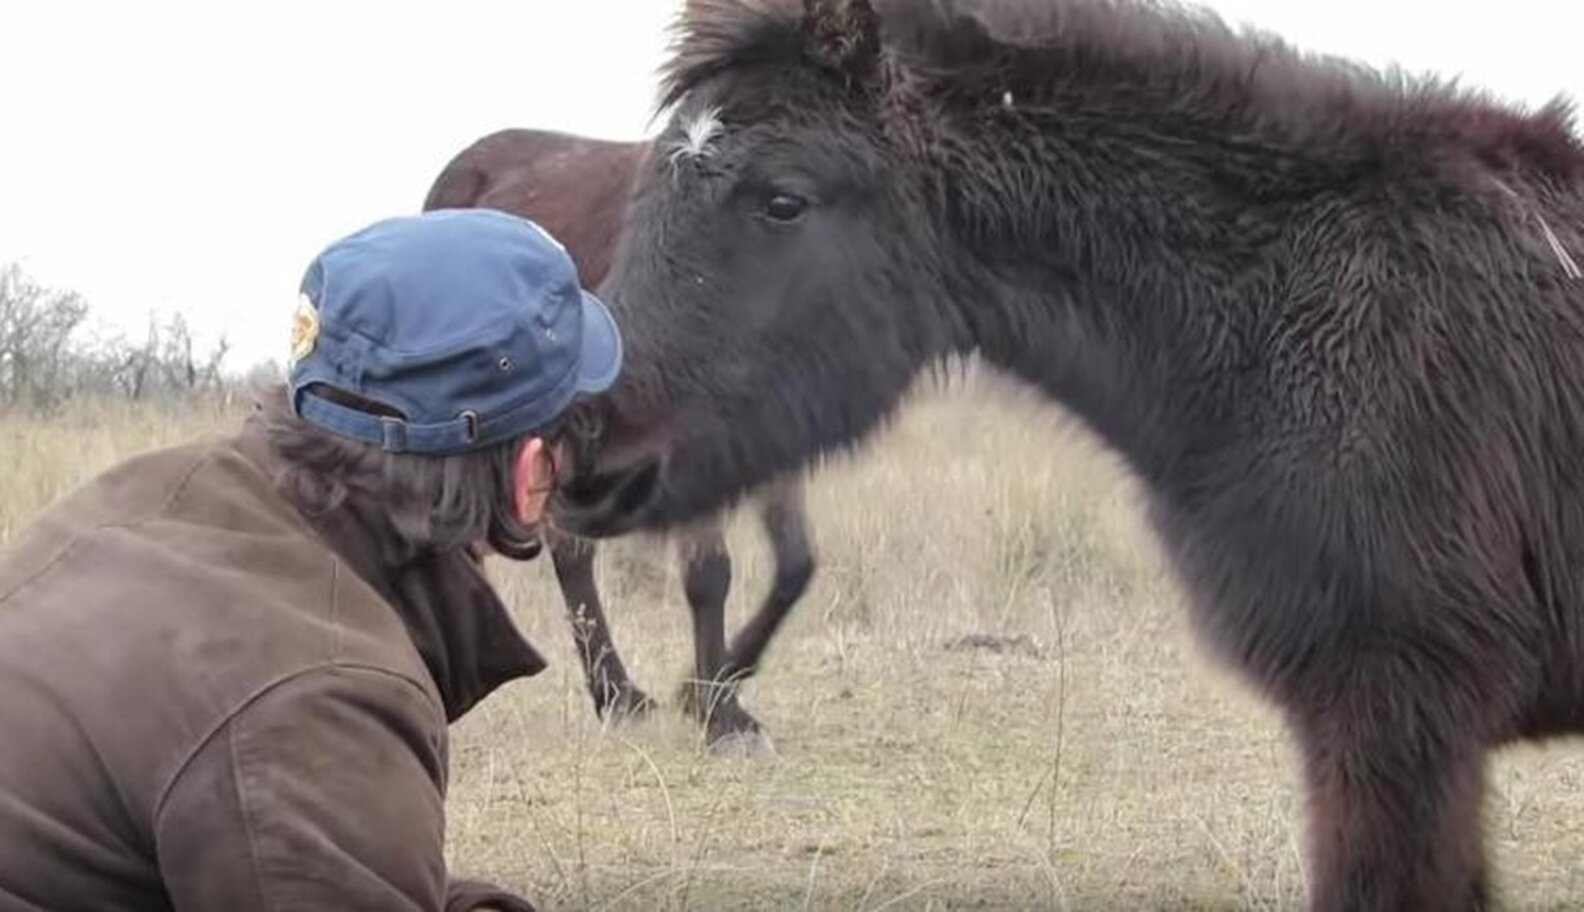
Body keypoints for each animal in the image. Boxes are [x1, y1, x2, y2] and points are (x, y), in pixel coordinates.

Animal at [423, 127, 817, 748]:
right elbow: (710, 572)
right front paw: (719, 715)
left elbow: (795, 564)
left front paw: (710, 691)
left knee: (567, 551)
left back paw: (616, 696)